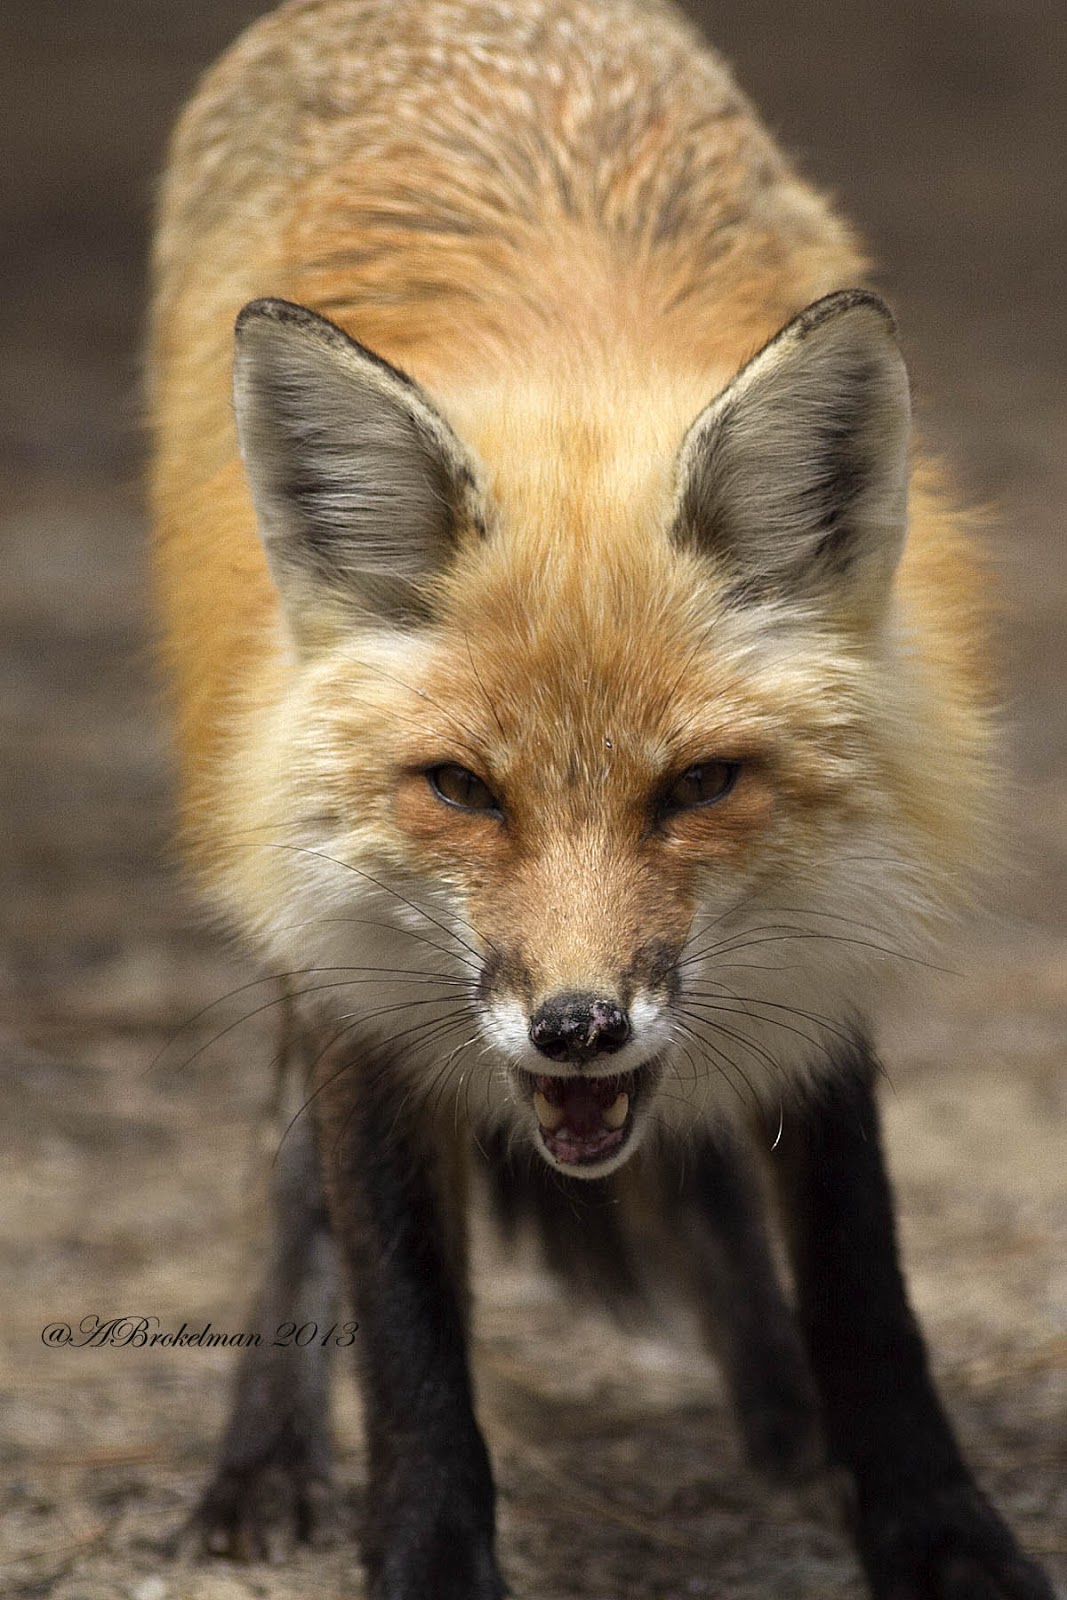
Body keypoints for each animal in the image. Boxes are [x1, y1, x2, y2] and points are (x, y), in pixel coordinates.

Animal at [148, 1, 1054, 1597]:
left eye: (698, 784)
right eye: (460, 789)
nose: (577, 1027)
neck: (574, 382)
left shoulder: (827, 955)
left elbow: (858, 1274)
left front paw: (932, 1529)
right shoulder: (356, 986)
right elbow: (402, 1328)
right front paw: (420, 1557)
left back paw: (776, 1411)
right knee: (283, 1176)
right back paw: (261, 1458)